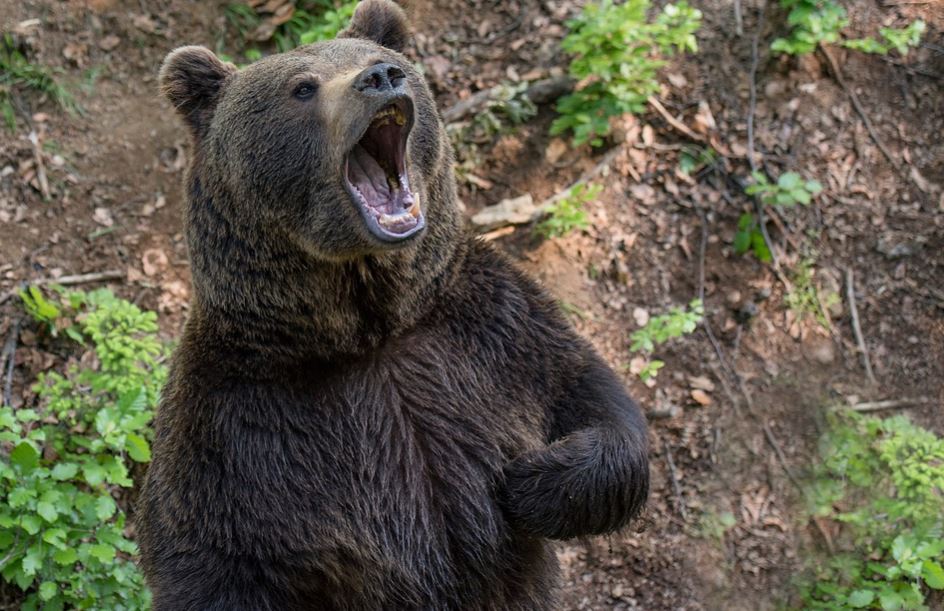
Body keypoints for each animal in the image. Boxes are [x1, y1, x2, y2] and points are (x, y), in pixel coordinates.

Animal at [136, 1, 649, 609]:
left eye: (377, 58)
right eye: (302, 87)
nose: (381, 78)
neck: (371, 328)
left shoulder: (493, 331)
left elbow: (594, 399)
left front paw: (531, 483)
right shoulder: (235, 431)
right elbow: (210, 562)